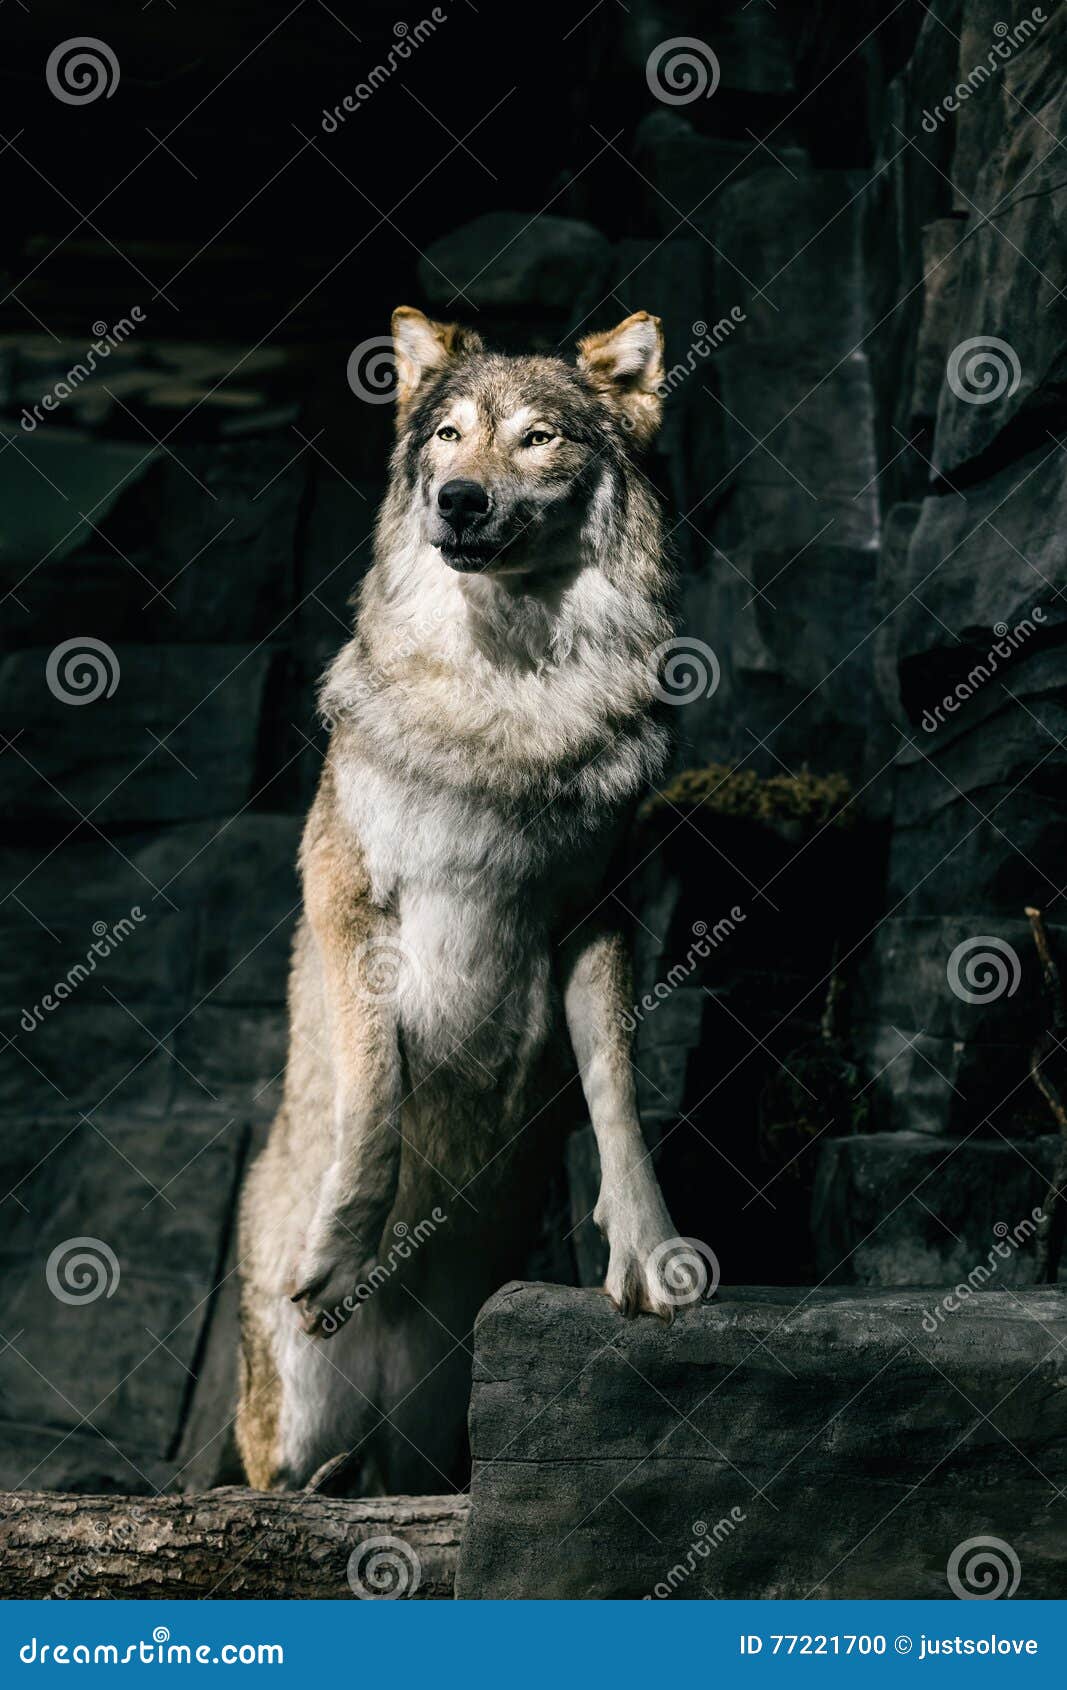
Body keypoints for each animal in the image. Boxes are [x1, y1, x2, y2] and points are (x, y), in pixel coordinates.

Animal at [236, 306, 683, 1495]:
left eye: (536, 437)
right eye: (445, 434)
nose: (460, 499)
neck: (506, 694)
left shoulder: (598, 915)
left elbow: (619, 1096)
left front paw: (649, 1253)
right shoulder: (347, 899)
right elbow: (378, 1094)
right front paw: (340, 1249)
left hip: (447, 1412)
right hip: (291, 1405)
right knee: (266, 1482)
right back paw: (320, 1480)